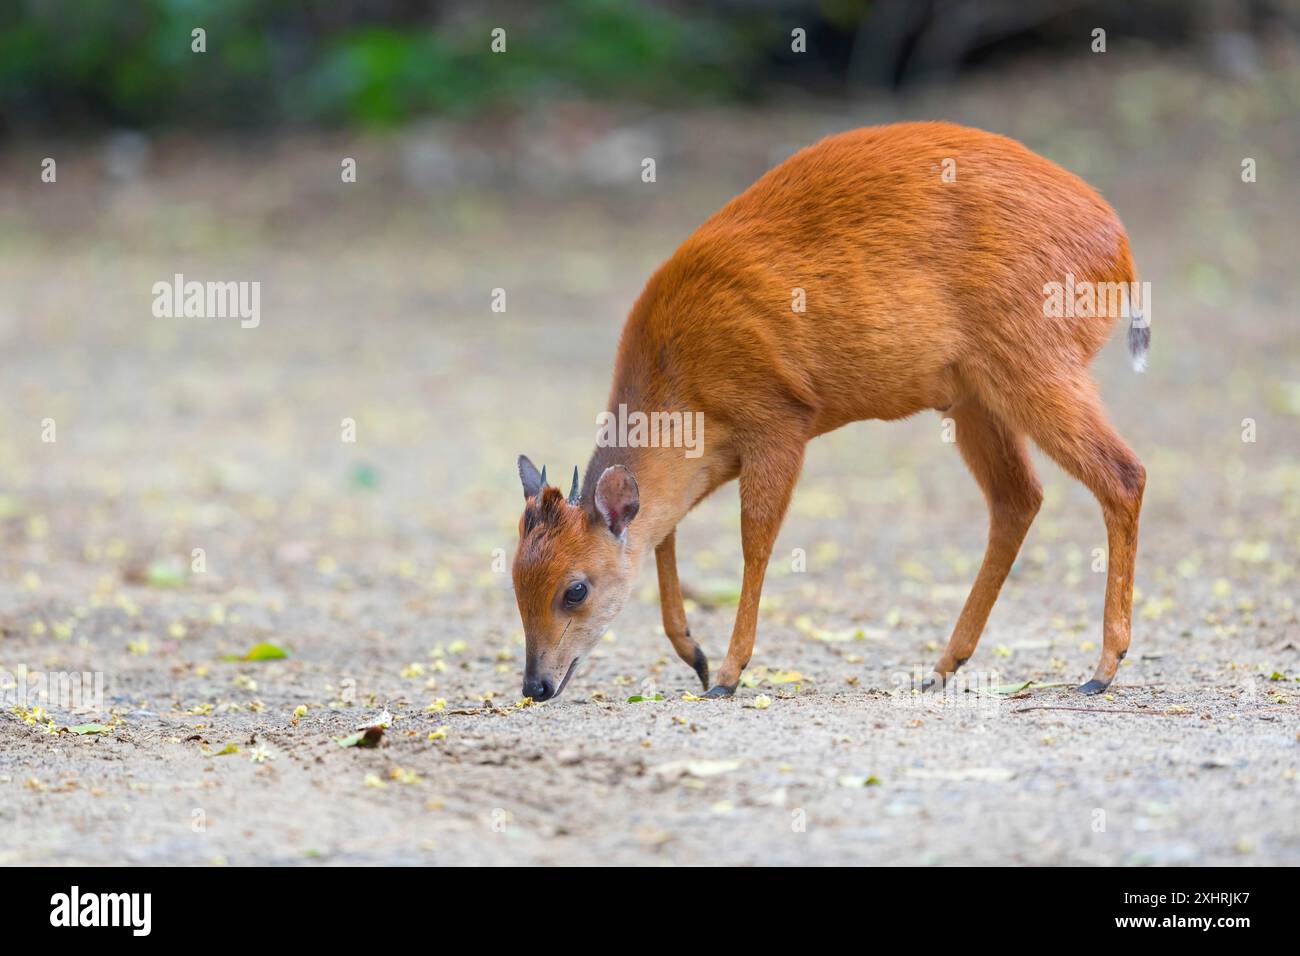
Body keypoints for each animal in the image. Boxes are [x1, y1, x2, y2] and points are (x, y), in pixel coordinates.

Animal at [512, 122, 1147, 701]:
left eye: (575, 590)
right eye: (514, 581)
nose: (535, 685)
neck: (678, 378)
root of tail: (1122, 252)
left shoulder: (778, 419)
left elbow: (754, 540)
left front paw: (727, 674)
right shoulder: (710, 458)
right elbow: (663, 529)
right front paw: (695, 656)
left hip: (1033, 360)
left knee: (1123, 474)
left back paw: (1102, 669)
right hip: (974, 395)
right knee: (1019, 498)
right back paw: (943, 666)